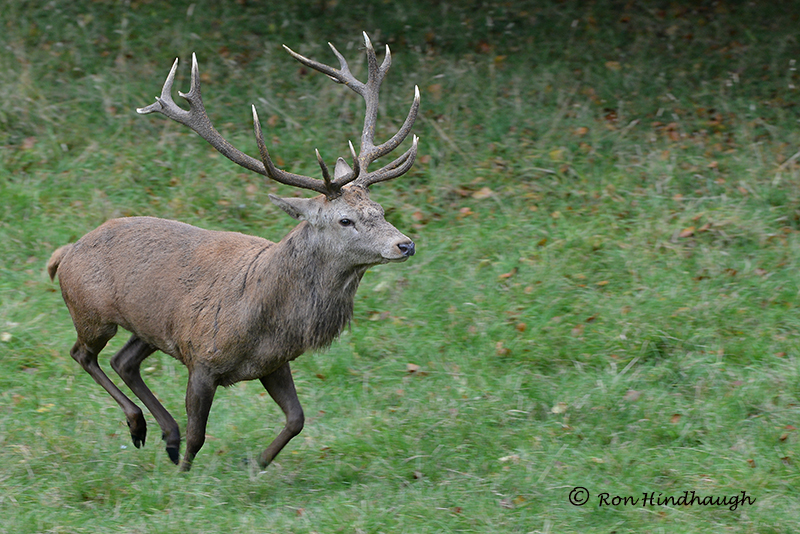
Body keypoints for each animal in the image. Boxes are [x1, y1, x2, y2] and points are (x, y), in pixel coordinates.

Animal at [46, 32, 420, 471]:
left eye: (381, 210)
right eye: (345, 220)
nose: (405, 243)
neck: (268, 318)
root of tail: (65, 253)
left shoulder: (274, 362)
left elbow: (297, 419)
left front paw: (256, 465)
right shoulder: (202, 358)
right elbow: (200, 434)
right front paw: (185, 477)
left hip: (148, 326)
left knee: (124, 360)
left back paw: (165, 435)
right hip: (91, 311)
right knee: (83, 354)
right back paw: (141, 426)